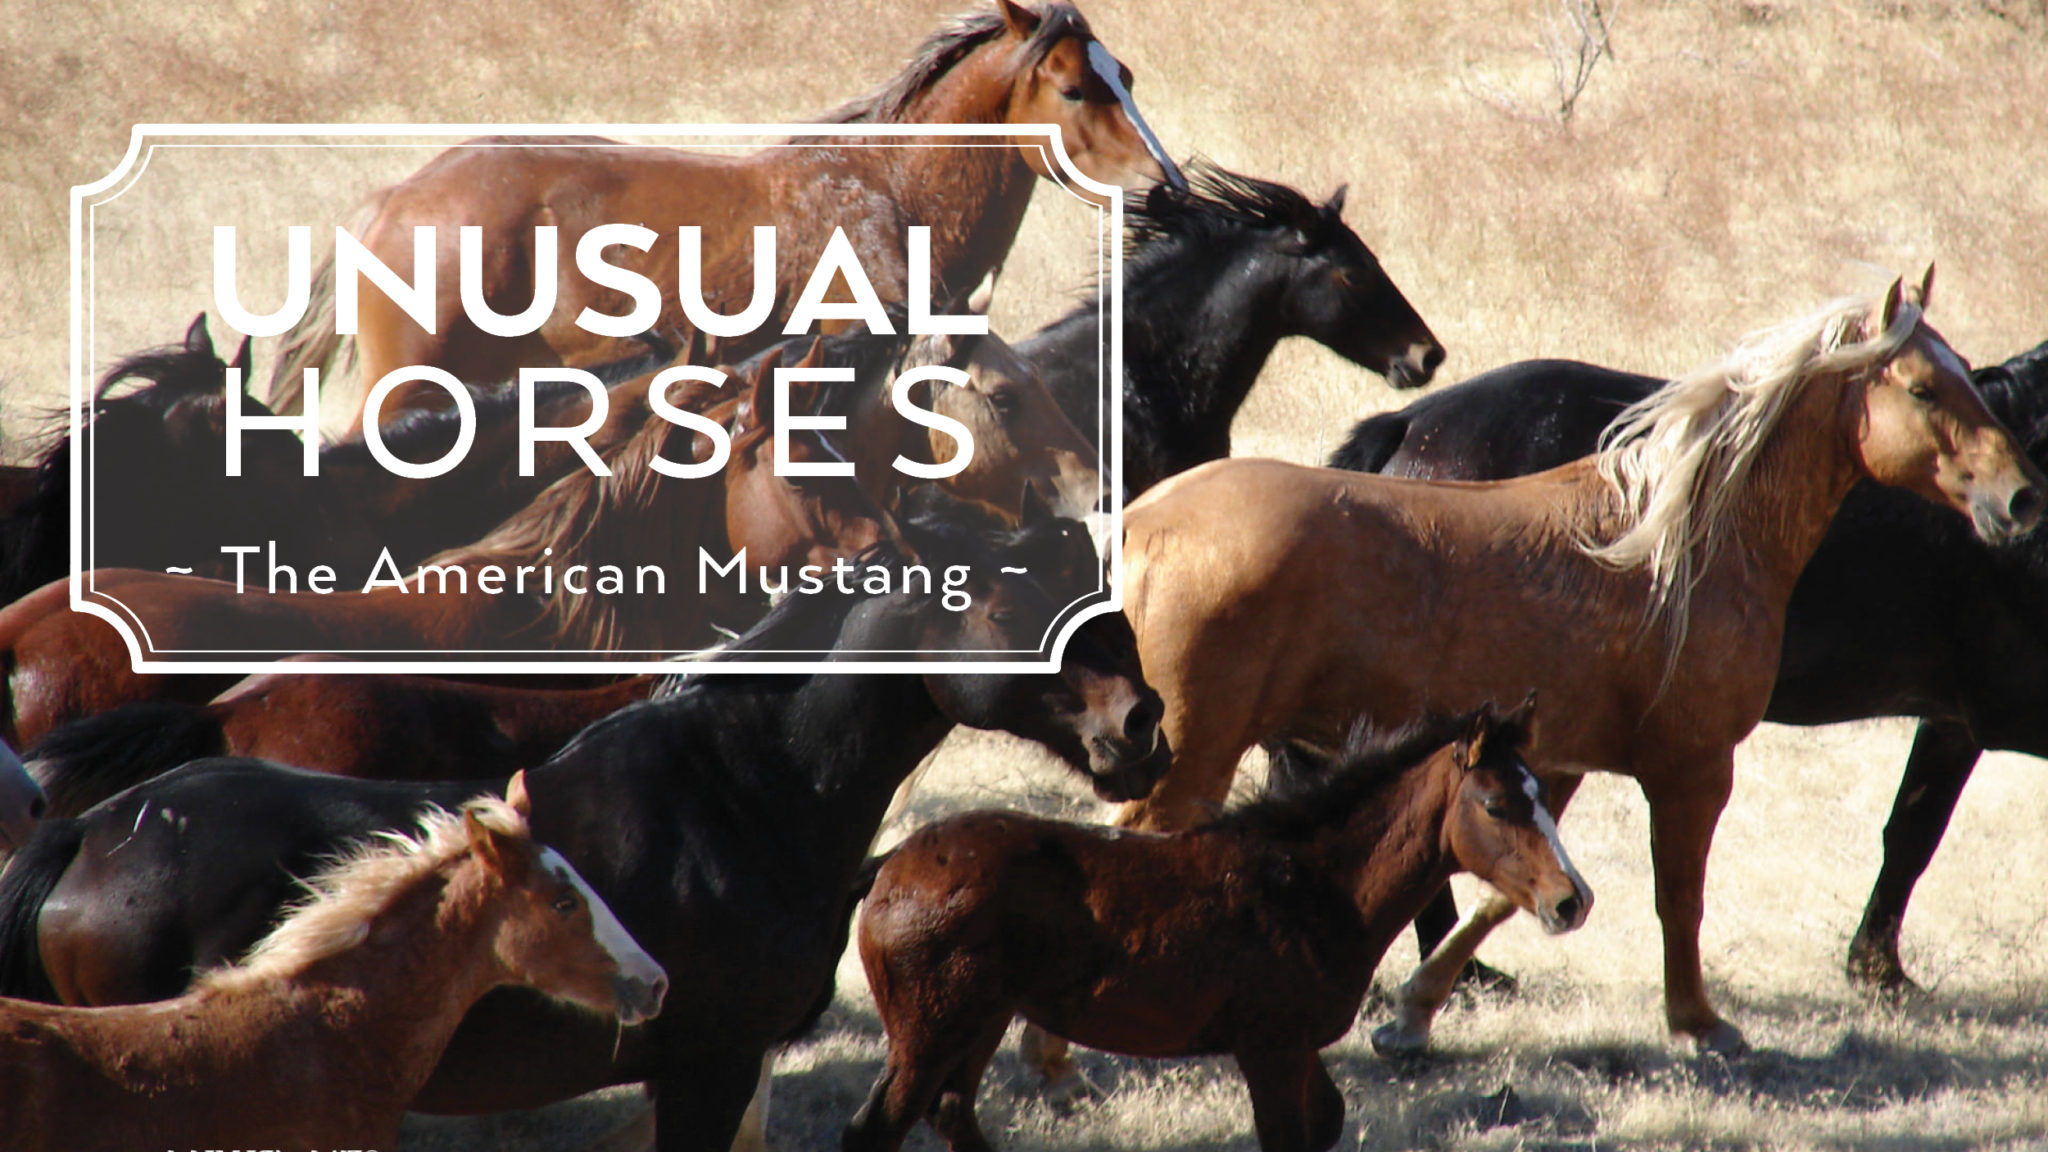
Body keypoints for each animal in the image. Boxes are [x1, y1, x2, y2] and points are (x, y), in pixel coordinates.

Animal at [269, 0, 1184, 432]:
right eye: (1074, 87)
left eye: (1129, 76)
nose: (1164, 185)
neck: (889, 191)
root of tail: (393, 202)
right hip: (406, 385)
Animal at [848, 701, 1587, 1152]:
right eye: (1495, 805)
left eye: (1541, 795)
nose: (1571, 901)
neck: (1310, 883)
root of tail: (889, 866)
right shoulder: (1269, 1047)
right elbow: (1287, 1137)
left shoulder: (1295, 1045)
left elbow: (1326, 1122)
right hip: (930, 1031)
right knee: (879, 1128)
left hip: (978, 1022)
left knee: (951, 1113)